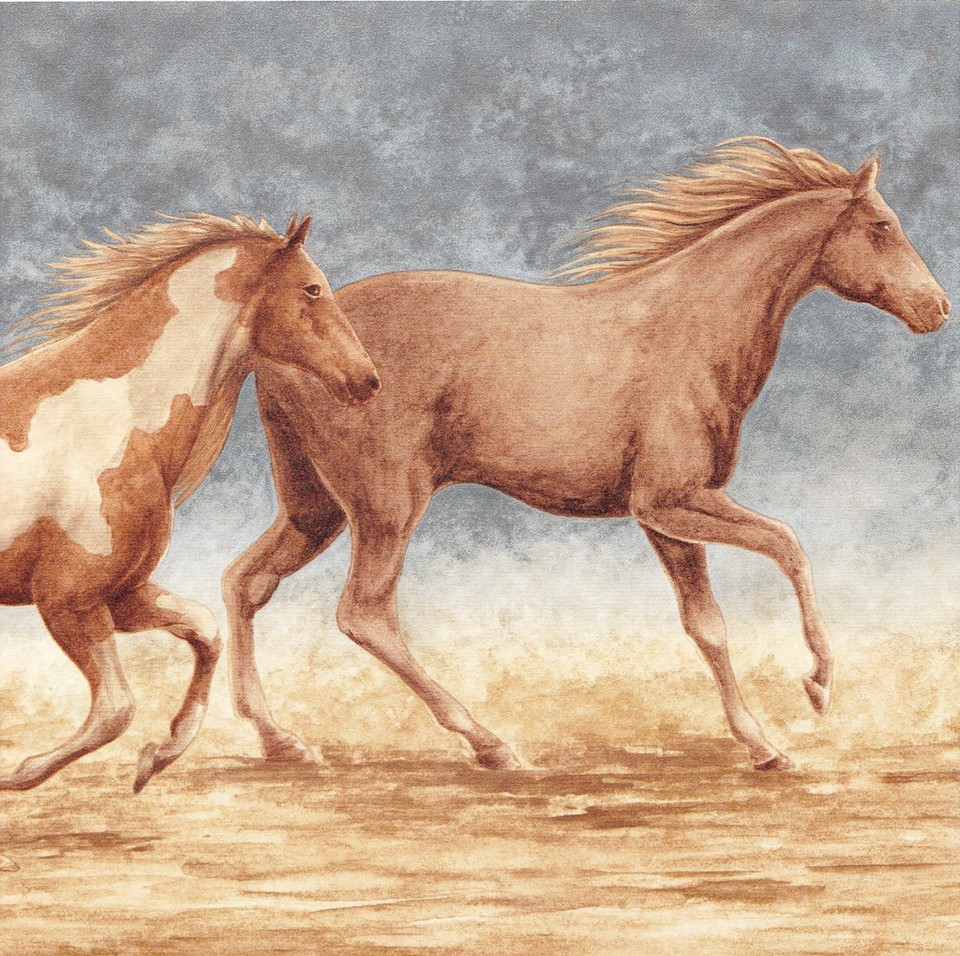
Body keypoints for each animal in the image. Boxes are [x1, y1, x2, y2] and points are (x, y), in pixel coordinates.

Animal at [0, 213, 380, 792]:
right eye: (312, 288)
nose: (368, 379)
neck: (114, 416)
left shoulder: (121, 594)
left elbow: (206, 632)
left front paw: (160, 755)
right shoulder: (68, 598)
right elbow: (115, 710)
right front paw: (22, 774)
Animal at [223, 138, 949, 772]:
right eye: (883, 225)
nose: (938, 308)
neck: (692, 326)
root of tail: (271, 350)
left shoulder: (666, 520)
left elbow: (707, 627)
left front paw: (763, 746)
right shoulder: (675, 500)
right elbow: (788, 546)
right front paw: (818, 683)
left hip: (316, 510)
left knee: (245, 582)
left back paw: (279, 739)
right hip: (385, 509)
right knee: (365, 615)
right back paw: (491, 745)